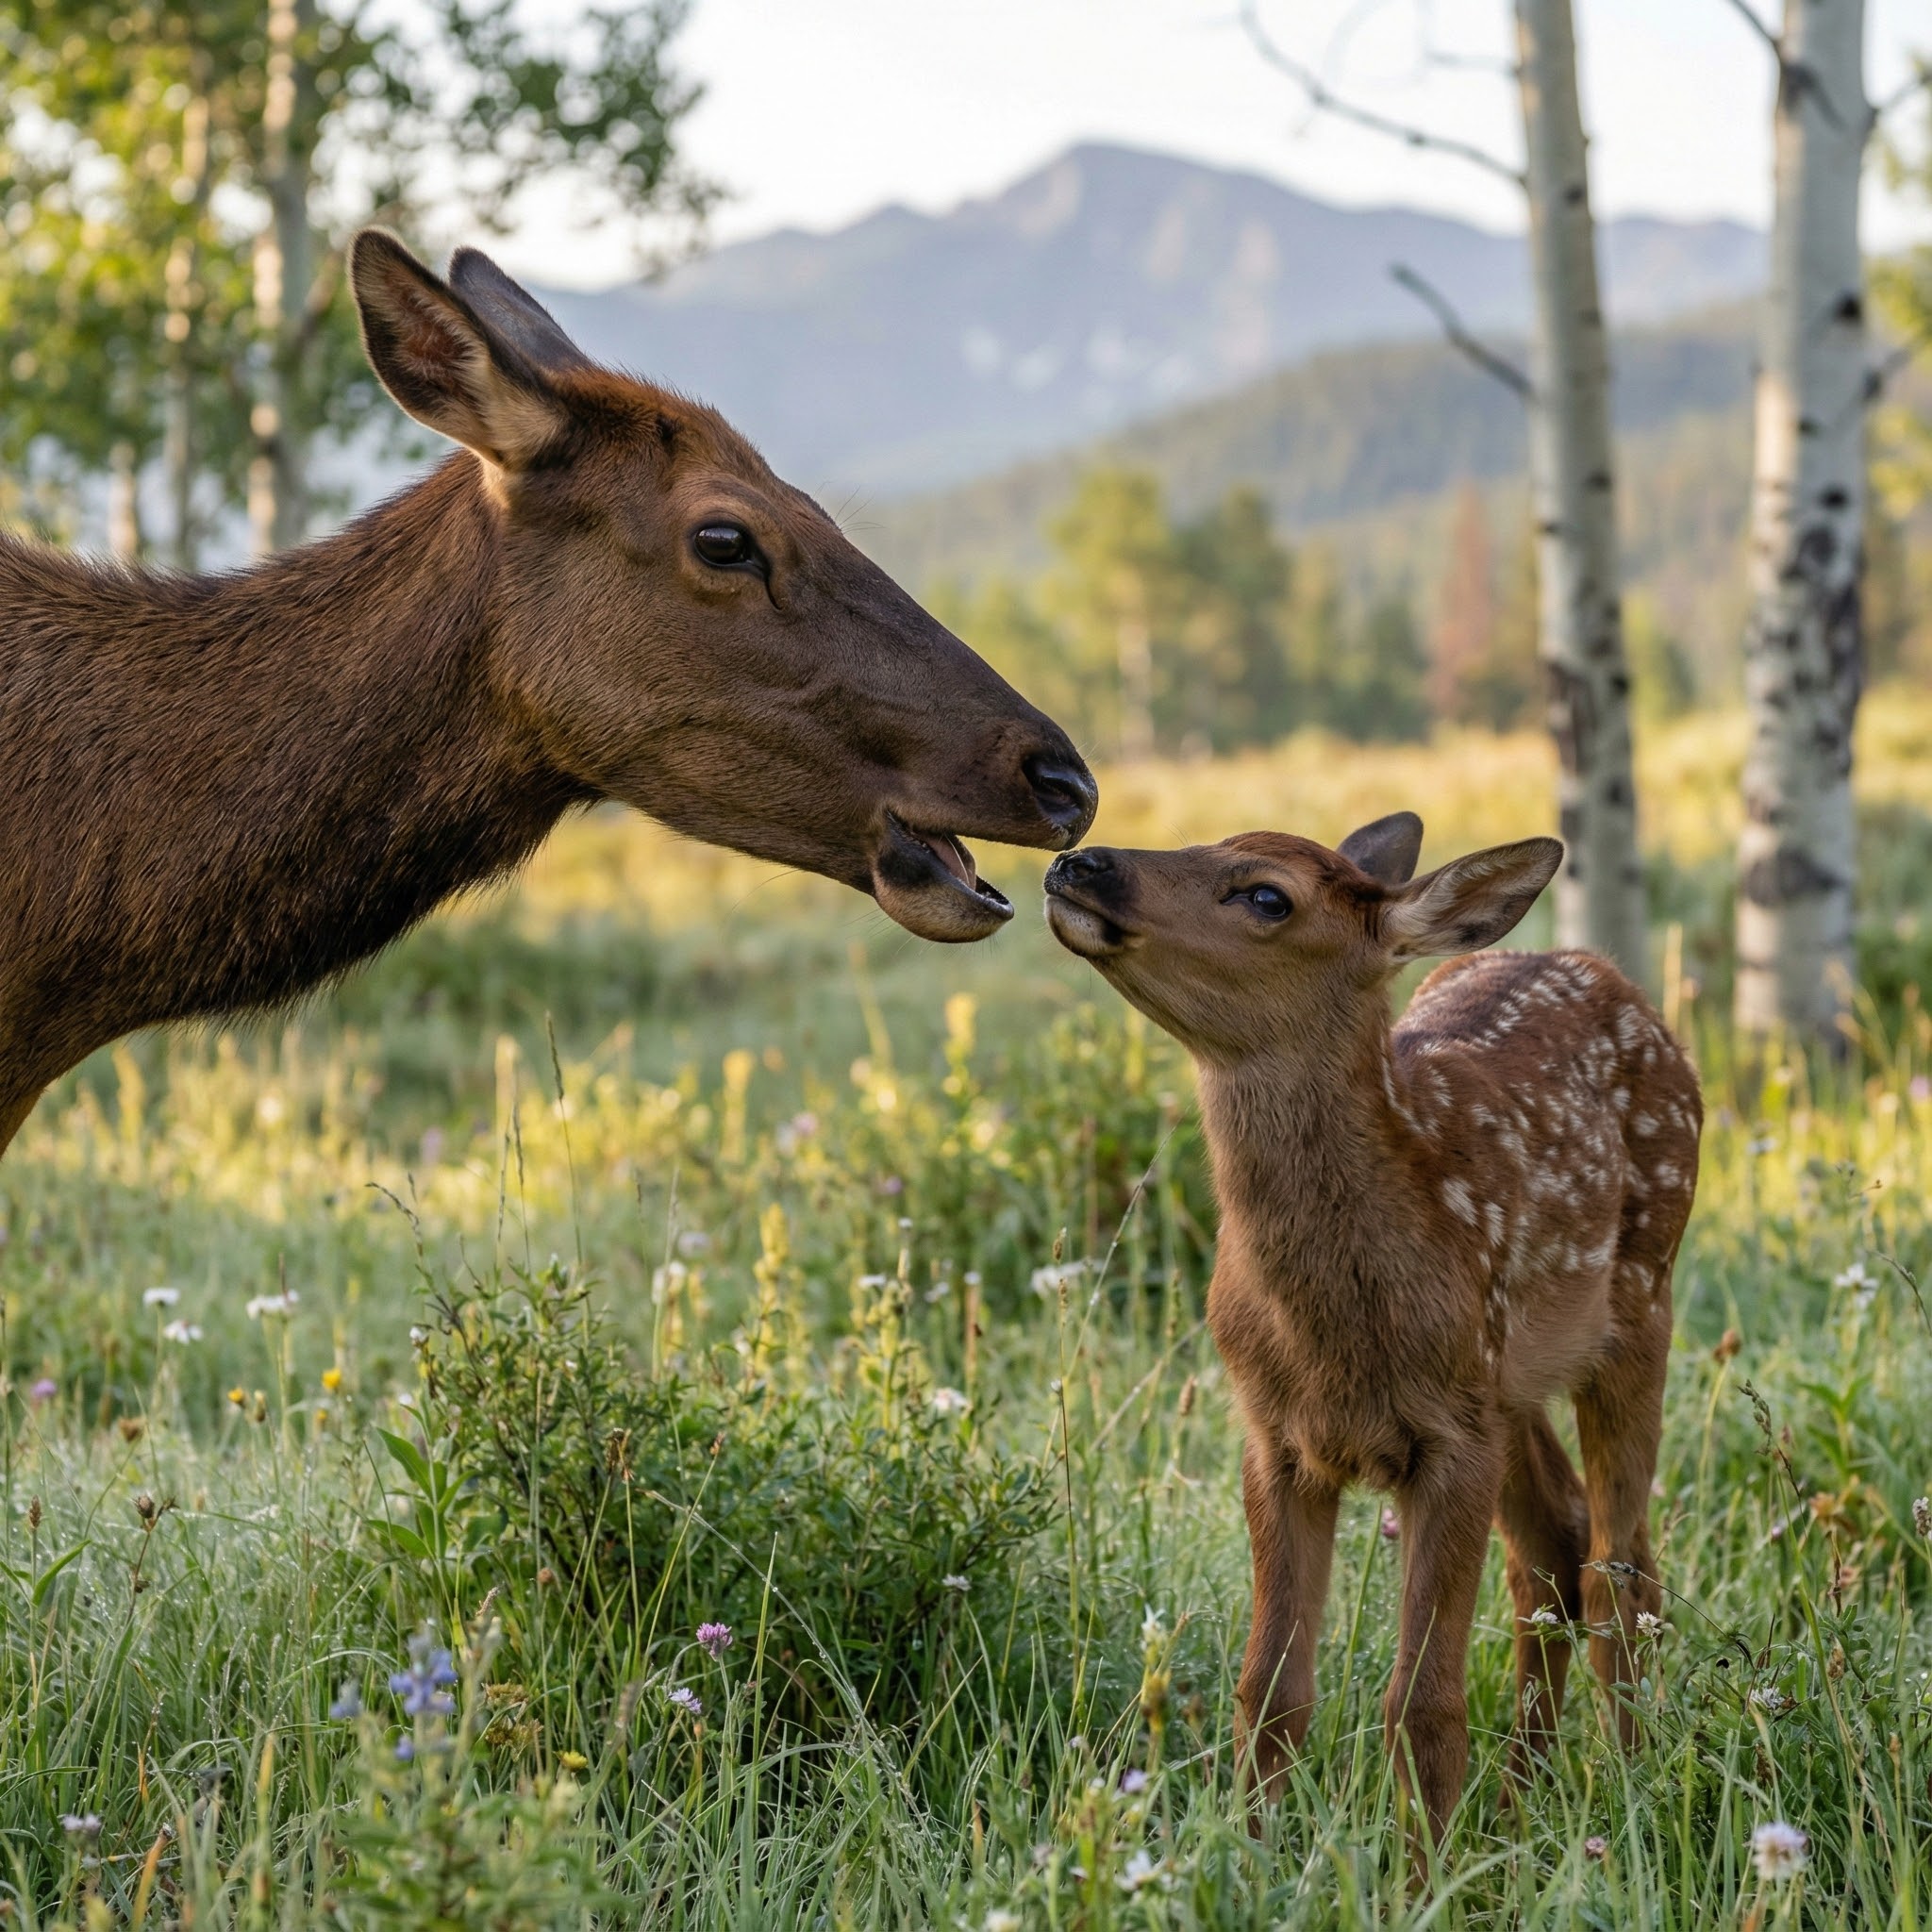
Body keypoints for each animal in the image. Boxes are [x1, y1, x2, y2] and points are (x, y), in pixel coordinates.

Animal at [1043, 814, 1701, 1836]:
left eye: (1265, 894)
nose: (1079, 861)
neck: (1330, 1334)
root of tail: (1601, 971)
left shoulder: (1449, 1440)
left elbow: (1421, 1703)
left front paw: (1423, 1864)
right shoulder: (1275, 1437)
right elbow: (1269, 1686)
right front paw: (1254, 1847)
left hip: (1638, 1301)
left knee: (1616, 1565)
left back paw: (1627, 1792)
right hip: (1505, 1377)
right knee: (1556, 1545)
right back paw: (1516, 1805)